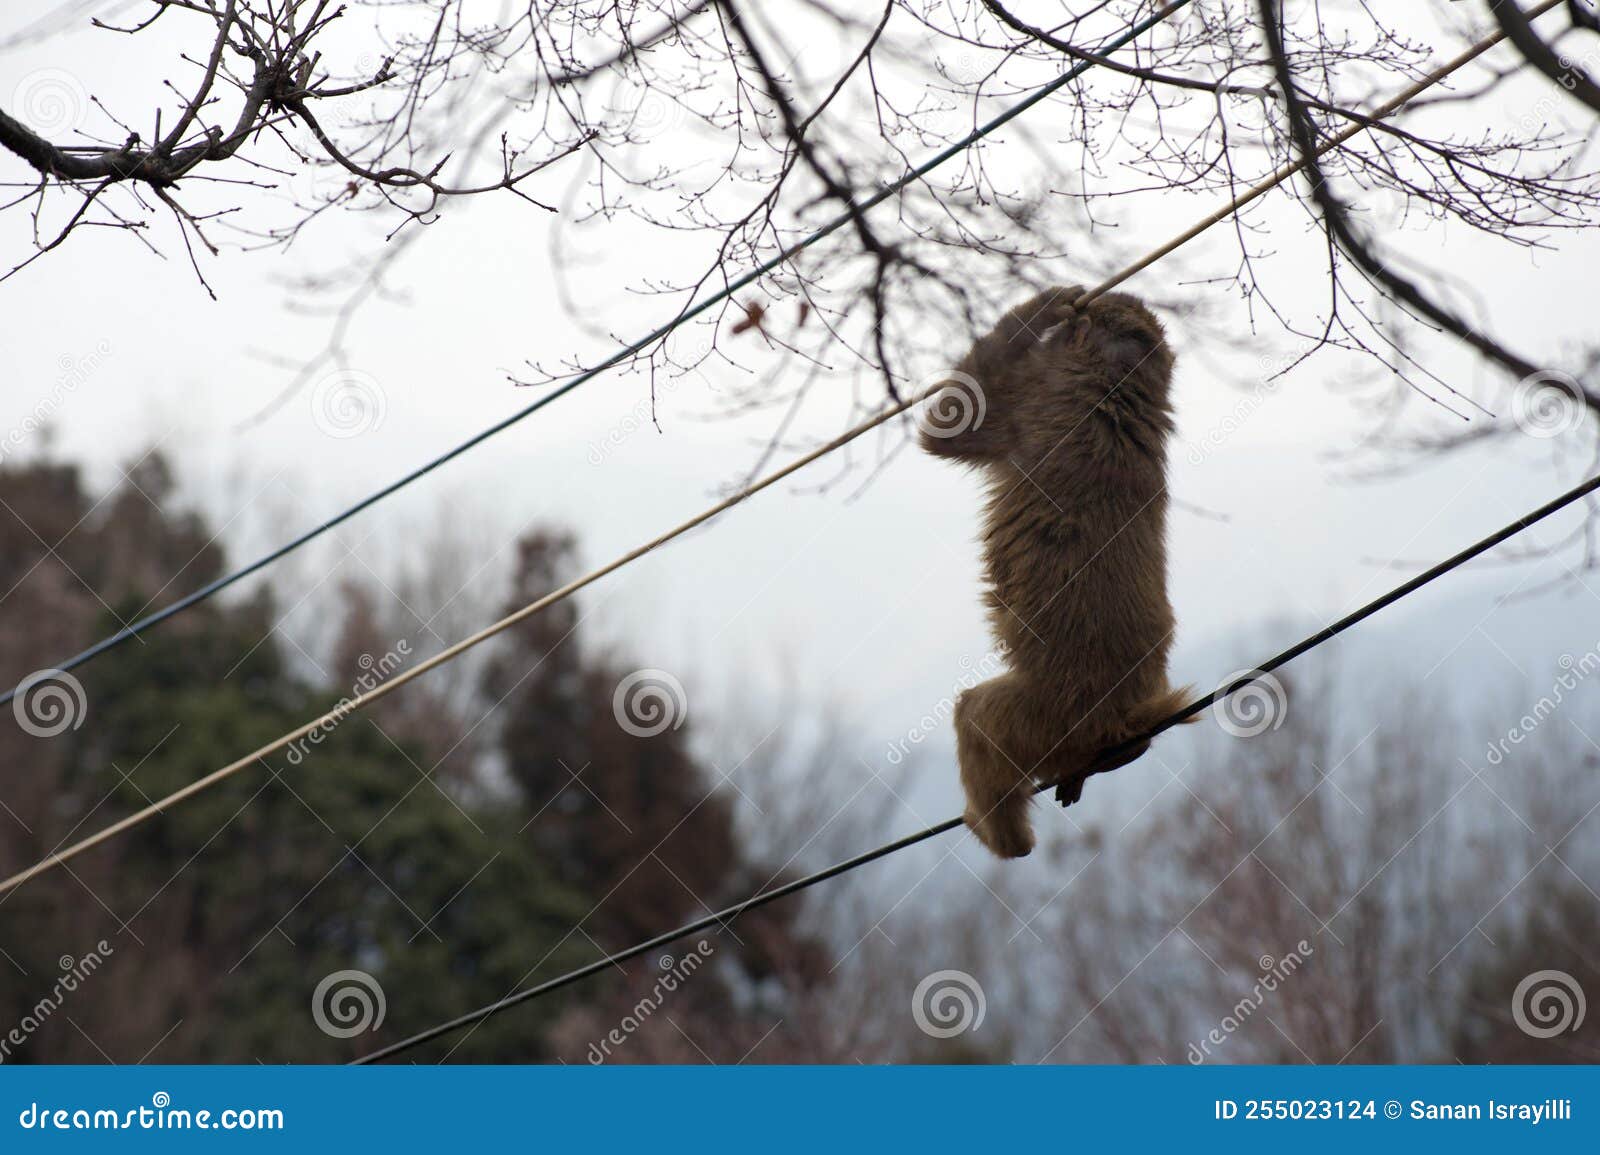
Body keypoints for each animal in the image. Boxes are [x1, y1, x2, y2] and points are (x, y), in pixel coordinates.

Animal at [919, 286, 1190, 858]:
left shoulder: (1034, 406)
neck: (1114, 393)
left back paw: (1003, 836)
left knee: (975, 715)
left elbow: (950, 427)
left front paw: (1042, 309)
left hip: (1043, 720)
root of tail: (1121, 723)